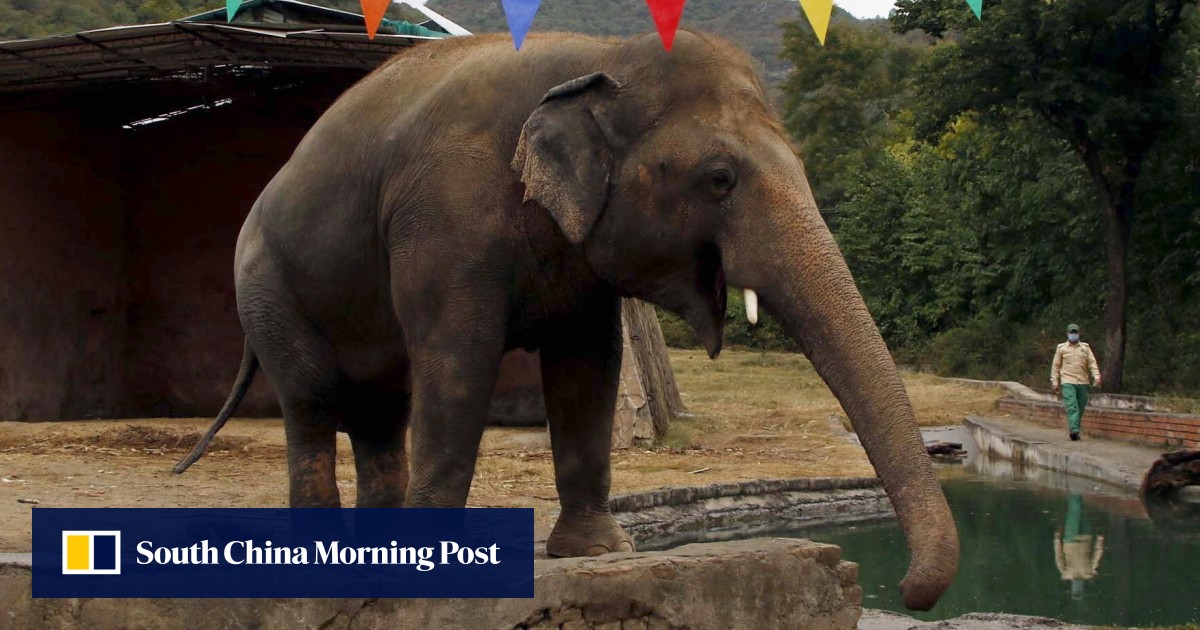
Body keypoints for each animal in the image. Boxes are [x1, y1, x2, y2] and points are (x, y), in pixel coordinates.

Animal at [174, 31, 959, 610]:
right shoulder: (446, 216)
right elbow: (458, 357)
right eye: (719, 179)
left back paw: (372, 554)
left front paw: (601, 552)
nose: (906, 590)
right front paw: (436, 572)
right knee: (312, 399)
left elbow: (589, 363)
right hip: (266, 285)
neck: (599, 57)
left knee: (379, 410)